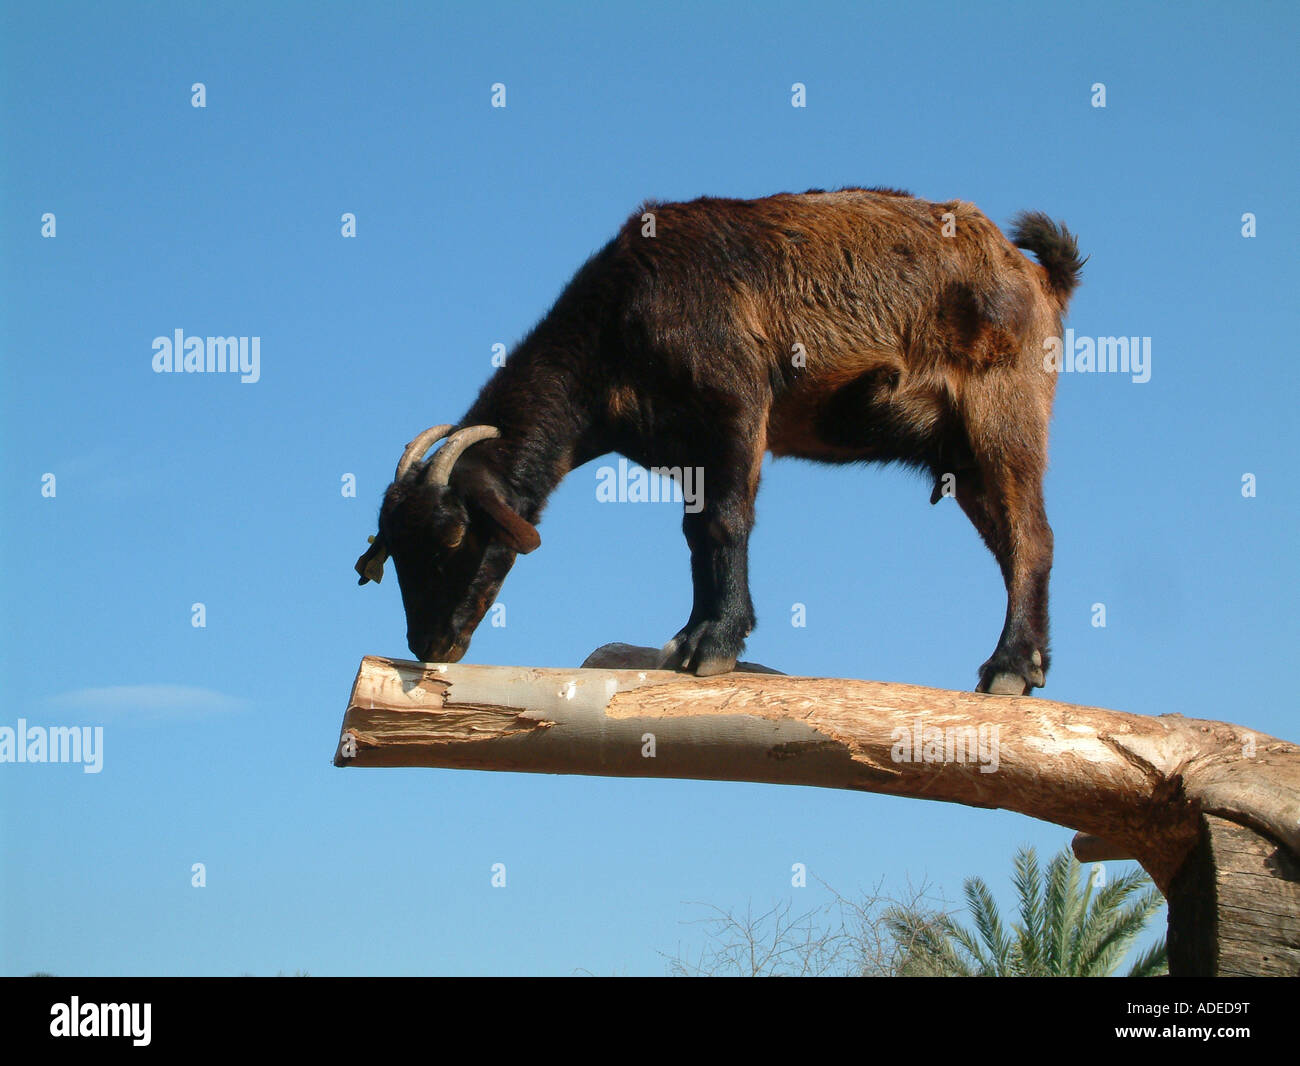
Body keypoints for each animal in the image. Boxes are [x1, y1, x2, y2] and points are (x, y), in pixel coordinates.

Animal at [355, 186, 1083, 694]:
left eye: (453, 535)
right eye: (396, 548)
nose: (429, 641)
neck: (618, 321)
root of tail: (1039, 274)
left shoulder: (736, 407)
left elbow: (723, 524)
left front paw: (714, 644)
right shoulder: (688, 454)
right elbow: (696, 530)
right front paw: (692, 636)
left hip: (1004, 414)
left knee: (1033, 538)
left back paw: (1008, 666)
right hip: (963, 458)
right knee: (1012, 544)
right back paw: (1028, 663)